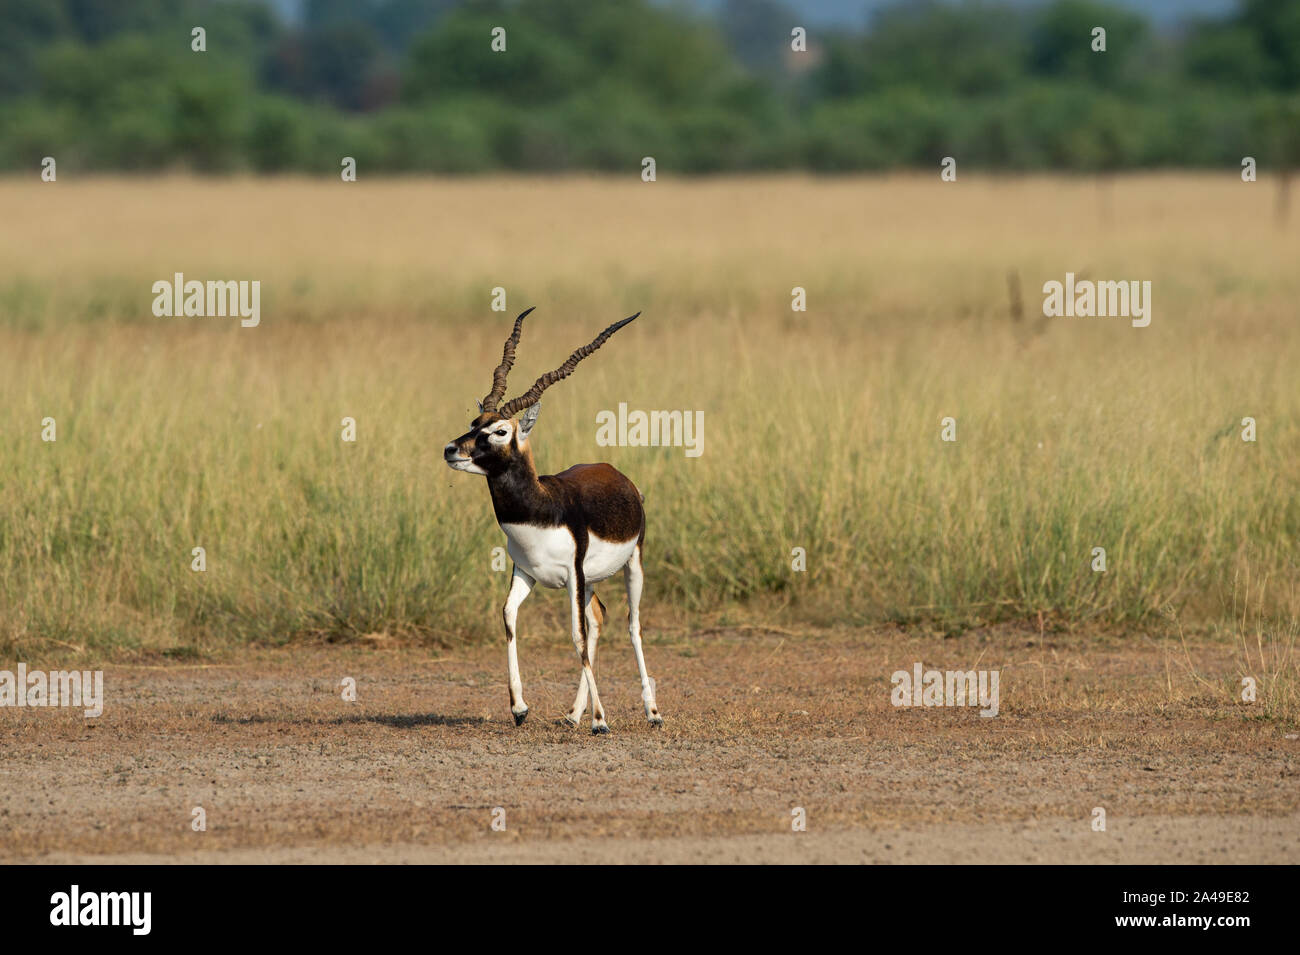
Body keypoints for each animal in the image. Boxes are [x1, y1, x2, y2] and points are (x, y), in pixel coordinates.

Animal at [443, 307, 661, 735]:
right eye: (475, 422)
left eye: (500, 430)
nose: (450, 449)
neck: (540, 510)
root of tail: (621, 477)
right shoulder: (526, 572)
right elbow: (509, 616)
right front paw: (519, 709)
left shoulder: (572, 574)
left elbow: (576, 637)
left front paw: (601, 721)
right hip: (590, 582)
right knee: (598, 618)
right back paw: (573, 714)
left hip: (631, 565)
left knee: (632, 625)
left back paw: (652, 713)